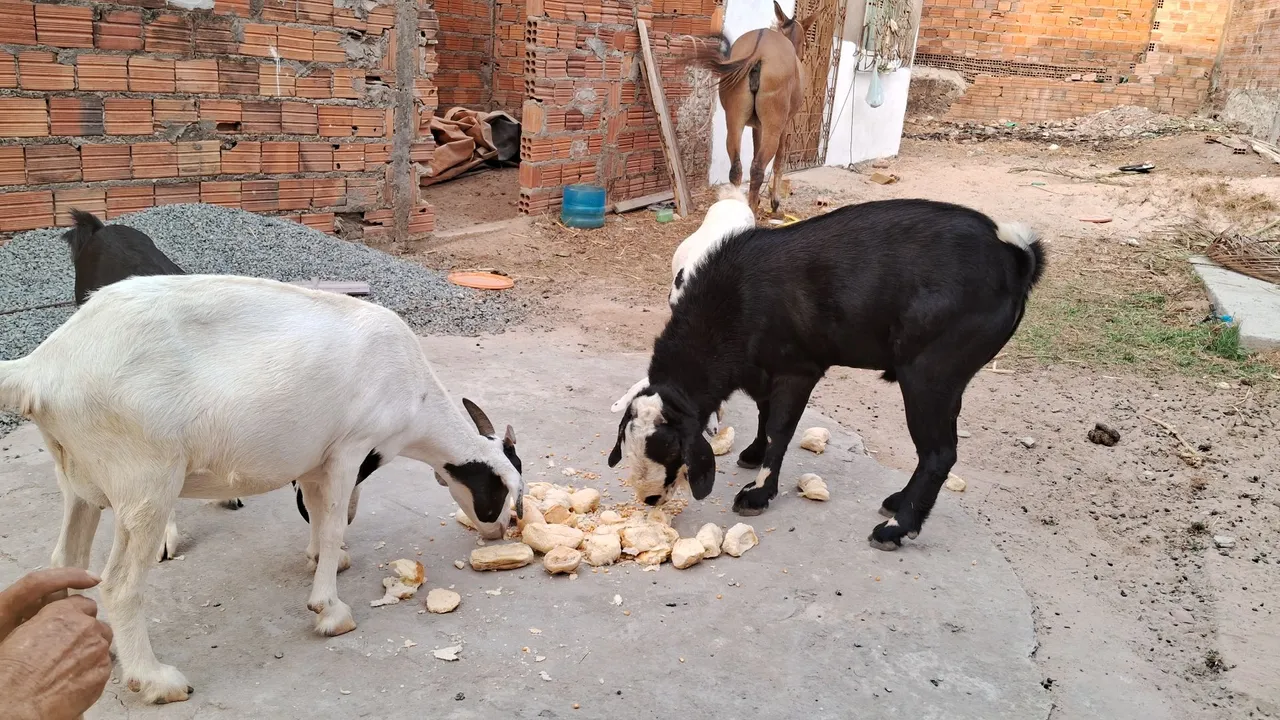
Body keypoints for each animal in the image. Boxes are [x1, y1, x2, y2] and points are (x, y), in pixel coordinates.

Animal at [0, 274, 525, 704]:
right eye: (503, 491)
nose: (500, 532)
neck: (414, 394)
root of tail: (41, 369)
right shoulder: (350, 449)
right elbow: (335, 521)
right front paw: (329, 609)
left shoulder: (315, 460)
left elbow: (317, 510)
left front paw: (320, 559)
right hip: (145, 480)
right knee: (120, 583)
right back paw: (155, 679)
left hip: (77, 476)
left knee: (65, 558)